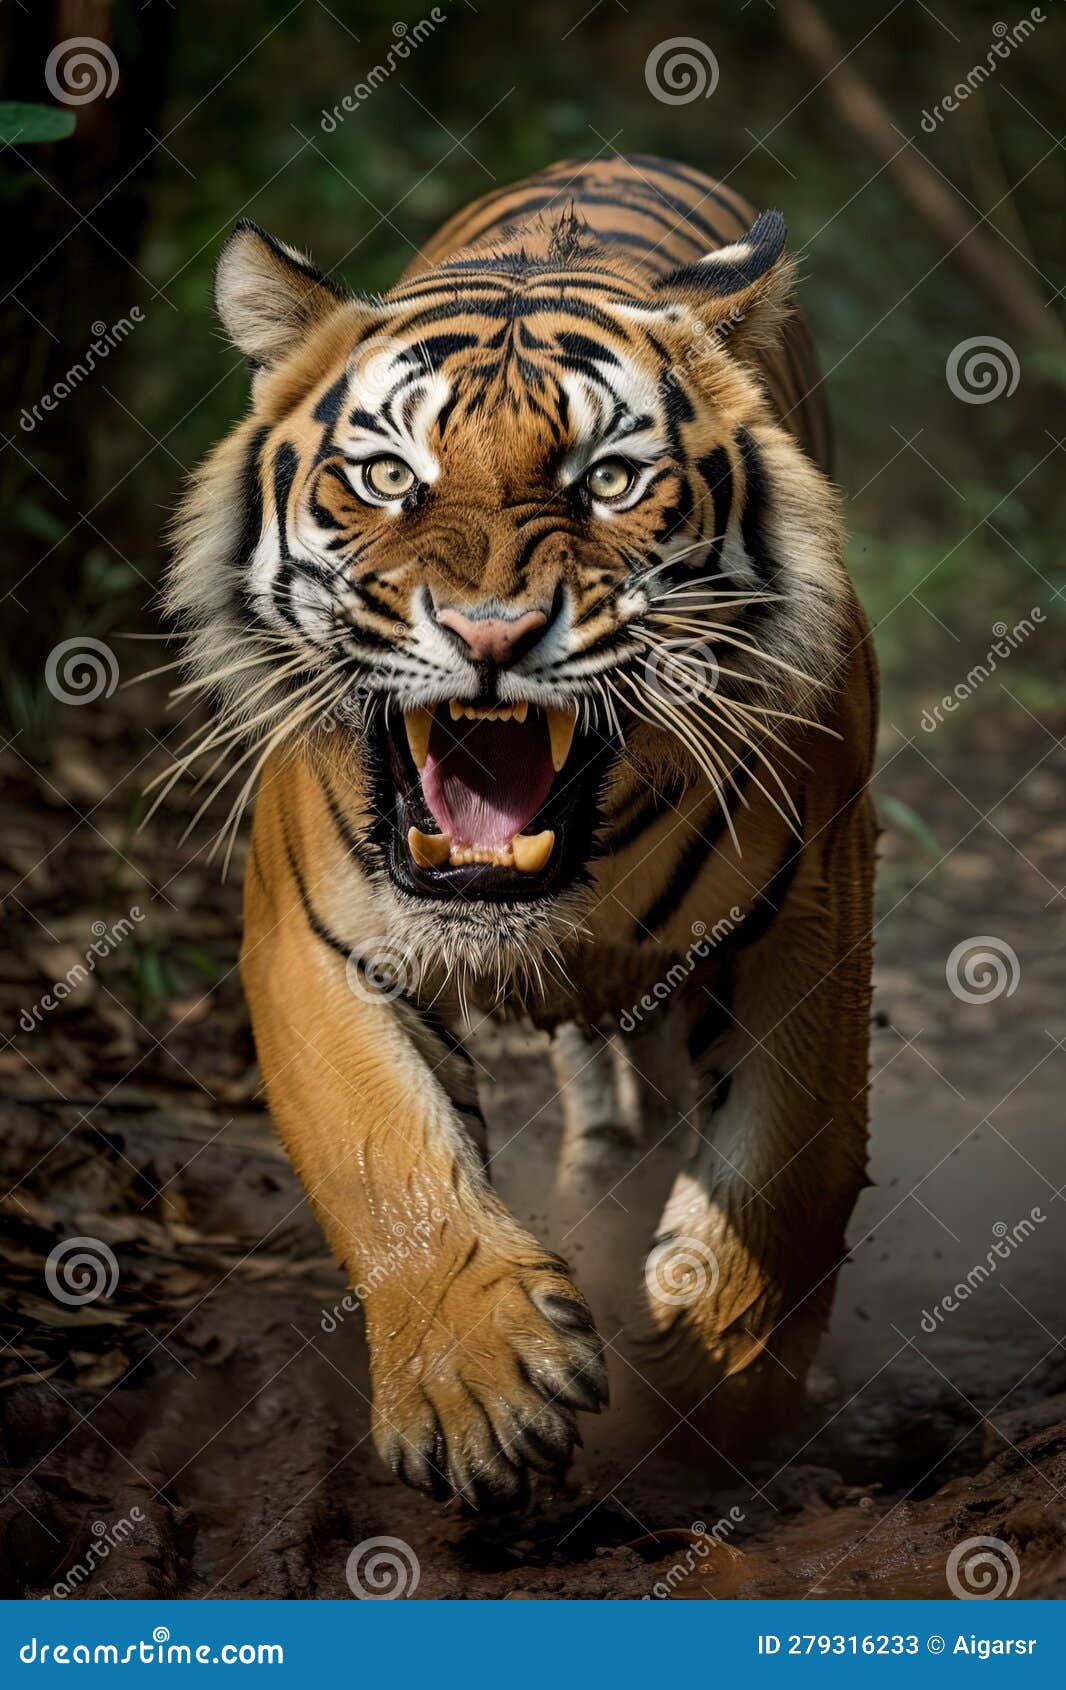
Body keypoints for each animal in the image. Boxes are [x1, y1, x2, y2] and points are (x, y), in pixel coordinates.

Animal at [167, 154, 878, 1512]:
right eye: (389, 475)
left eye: (608, 480)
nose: (488, 631)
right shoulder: (310, 943)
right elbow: (384, 1151)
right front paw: (476, 1392)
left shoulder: (809, 920)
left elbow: (787, 1175)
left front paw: (714, 1385)